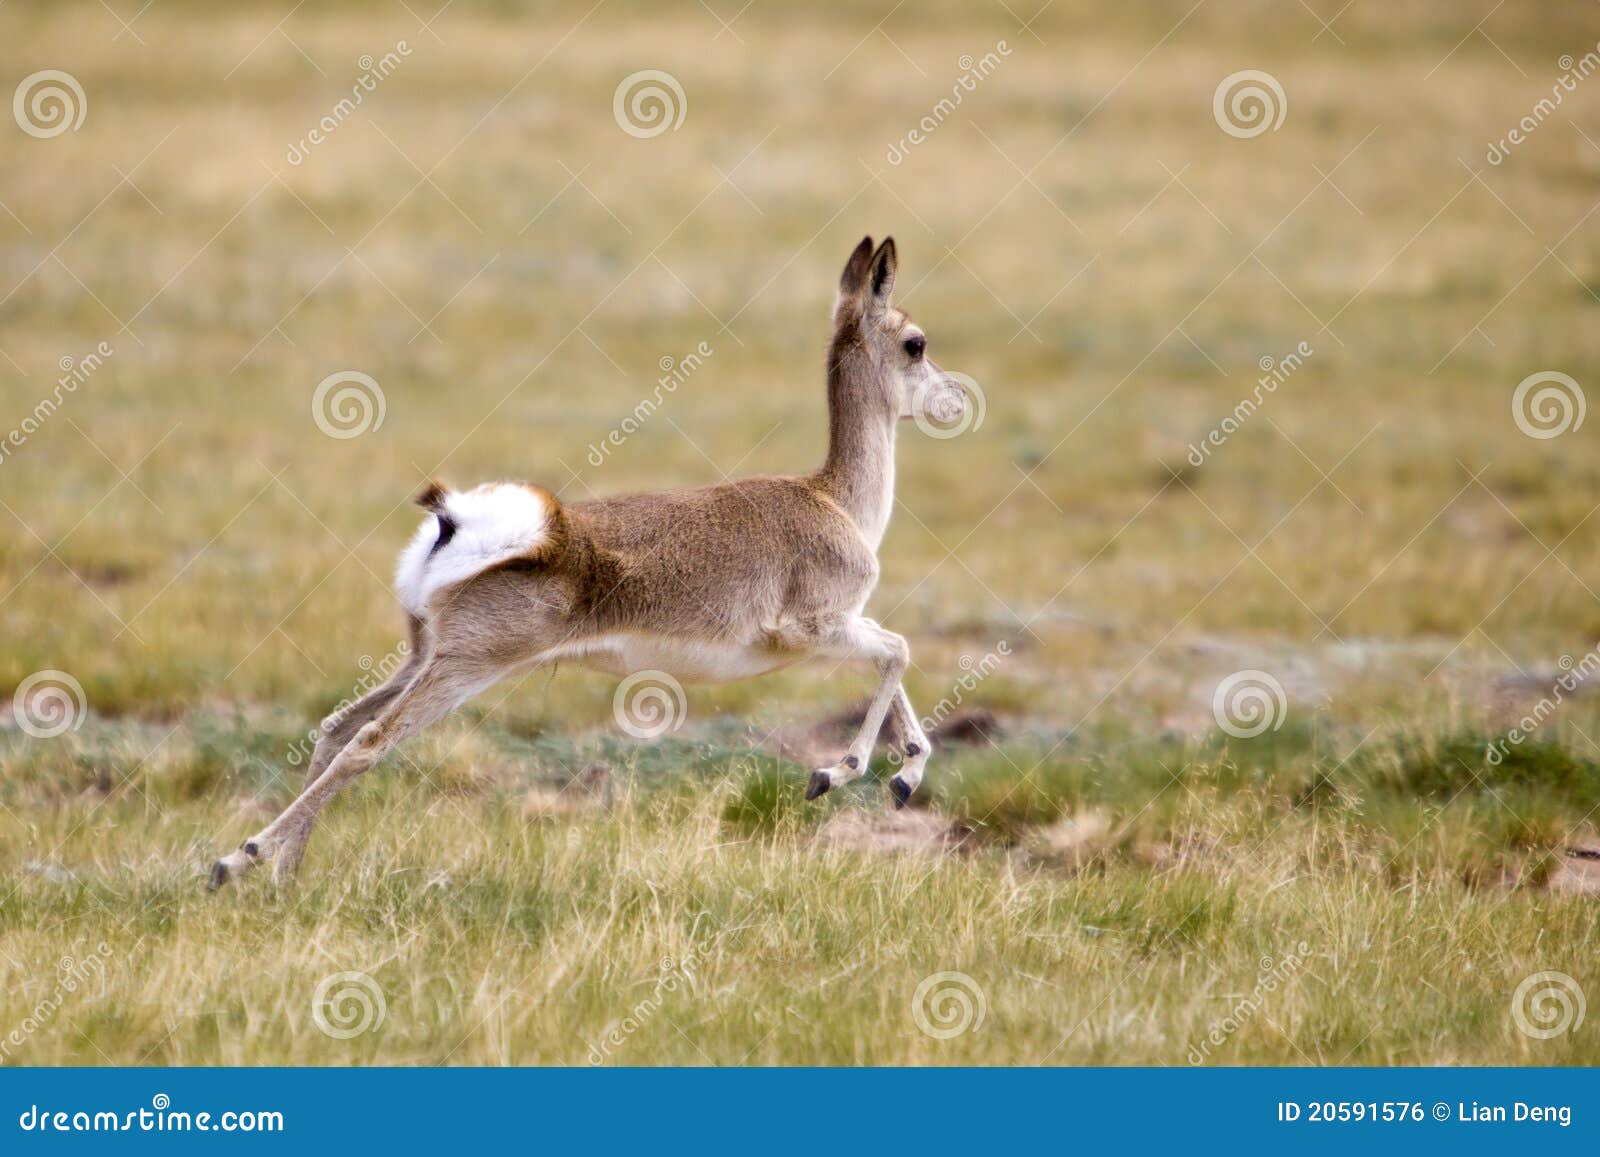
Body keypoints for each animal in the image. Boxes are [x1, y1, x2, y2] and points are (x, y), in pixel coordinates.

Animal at [209, 236, 969, 888]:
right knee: (367, 740)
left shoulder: (846, 623)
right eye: (916, 343)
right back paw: (235, 859)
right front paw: (838, 773)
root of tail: (458, 521)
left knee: (336, 728)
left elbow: (893, 658)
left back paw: (284, 879)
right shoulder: (815, 628)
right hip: (463, 669)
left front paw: (899, 776)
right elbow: (899, 651)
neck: (833, 498)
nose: (957, 400)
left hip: (422, 657)